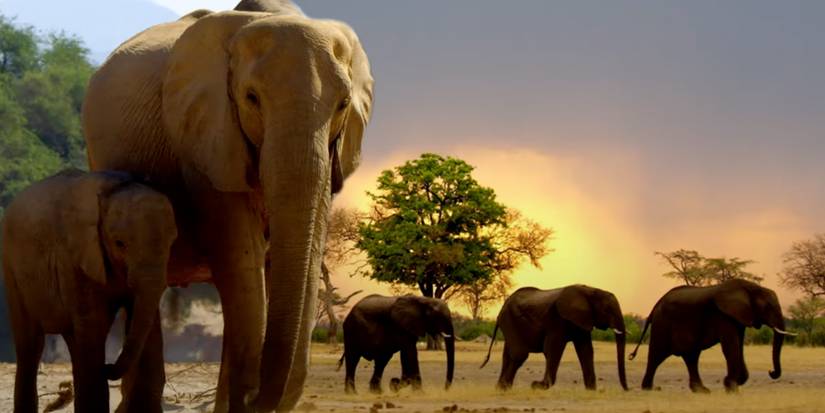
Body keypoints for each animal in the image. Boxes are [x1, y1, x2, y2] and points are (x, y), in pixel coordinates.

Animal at [1, 169, 177, 413]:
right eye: (119, 243)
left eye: (173, 242)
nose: (108, 366)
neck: (113, 185)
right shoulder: (74, 258)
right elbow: (94, 325)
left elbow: (144, 321)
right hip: (11, 270)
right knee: (31, 345)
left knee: (74, 342)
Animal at [481, 285, 628, 391]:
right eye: (607, 310)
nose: (628, 389)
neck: (590, 290)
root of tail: (502, 308)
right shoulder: (557, 320)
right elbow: (553, 349)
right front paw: (538, 386)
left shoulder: (581, 322)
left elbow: (585, 351)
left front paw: (591, 390)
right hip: (510, 320)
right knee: (519, 354)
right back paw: (504, 387)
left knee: (507, 356)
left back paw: (500, 388)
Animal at [629, 279, 794, 393]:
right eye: (768, 307)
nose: (771, 372)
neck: (750, 287)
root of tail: (656, 305)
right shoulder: (723, 316)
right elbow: (730, 347)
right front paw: (731, 387)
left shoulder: (738, 317)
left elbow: (739, 346)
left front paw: (735, 382)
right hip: (662, 324)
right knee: (657, 355)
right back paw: (650, 389)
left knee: (691, 357)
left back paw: (701, 391)